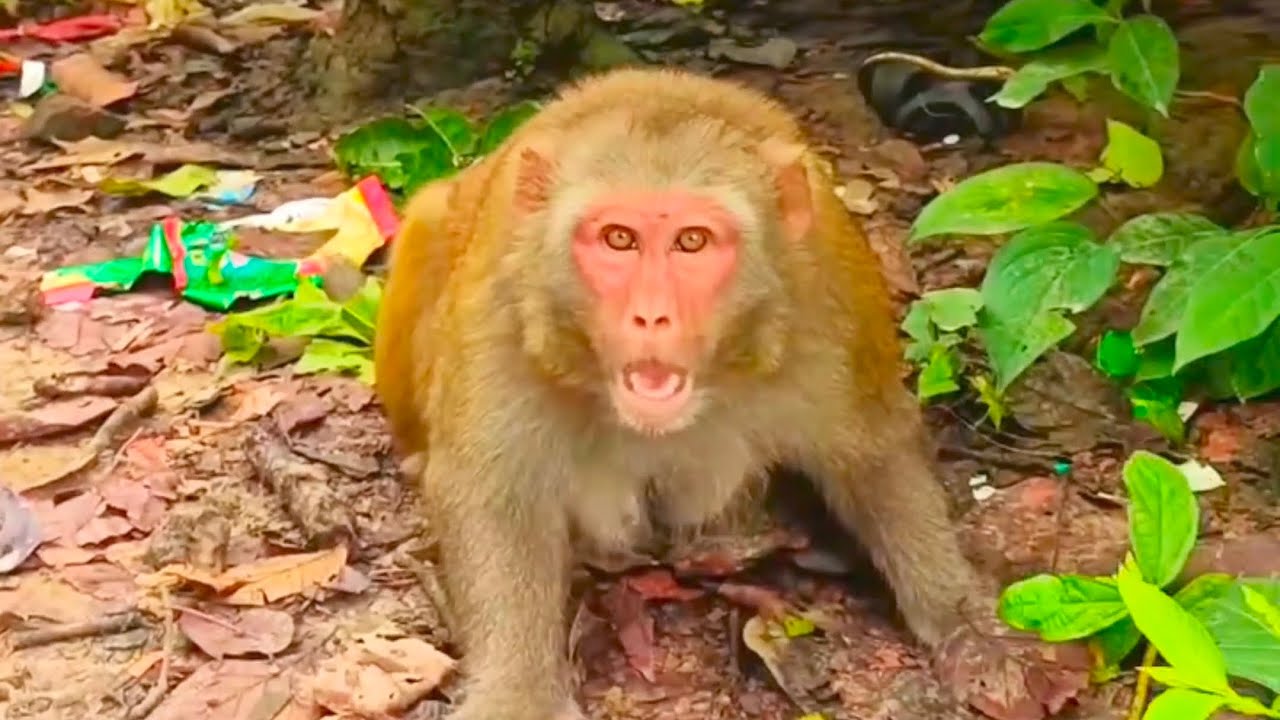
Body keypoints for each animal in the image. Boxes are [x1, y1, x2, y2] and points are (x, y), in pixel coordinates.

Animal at [374, 67, 1061, 720]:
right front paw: (517, 696)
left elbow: (875, 456)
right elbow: (494, 494)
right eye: (619, 238)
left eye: (692, 241)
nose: (652, 315)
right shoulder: (503, 314)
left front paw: (968, 622)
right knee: (427, 218)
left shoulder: (824, 303)